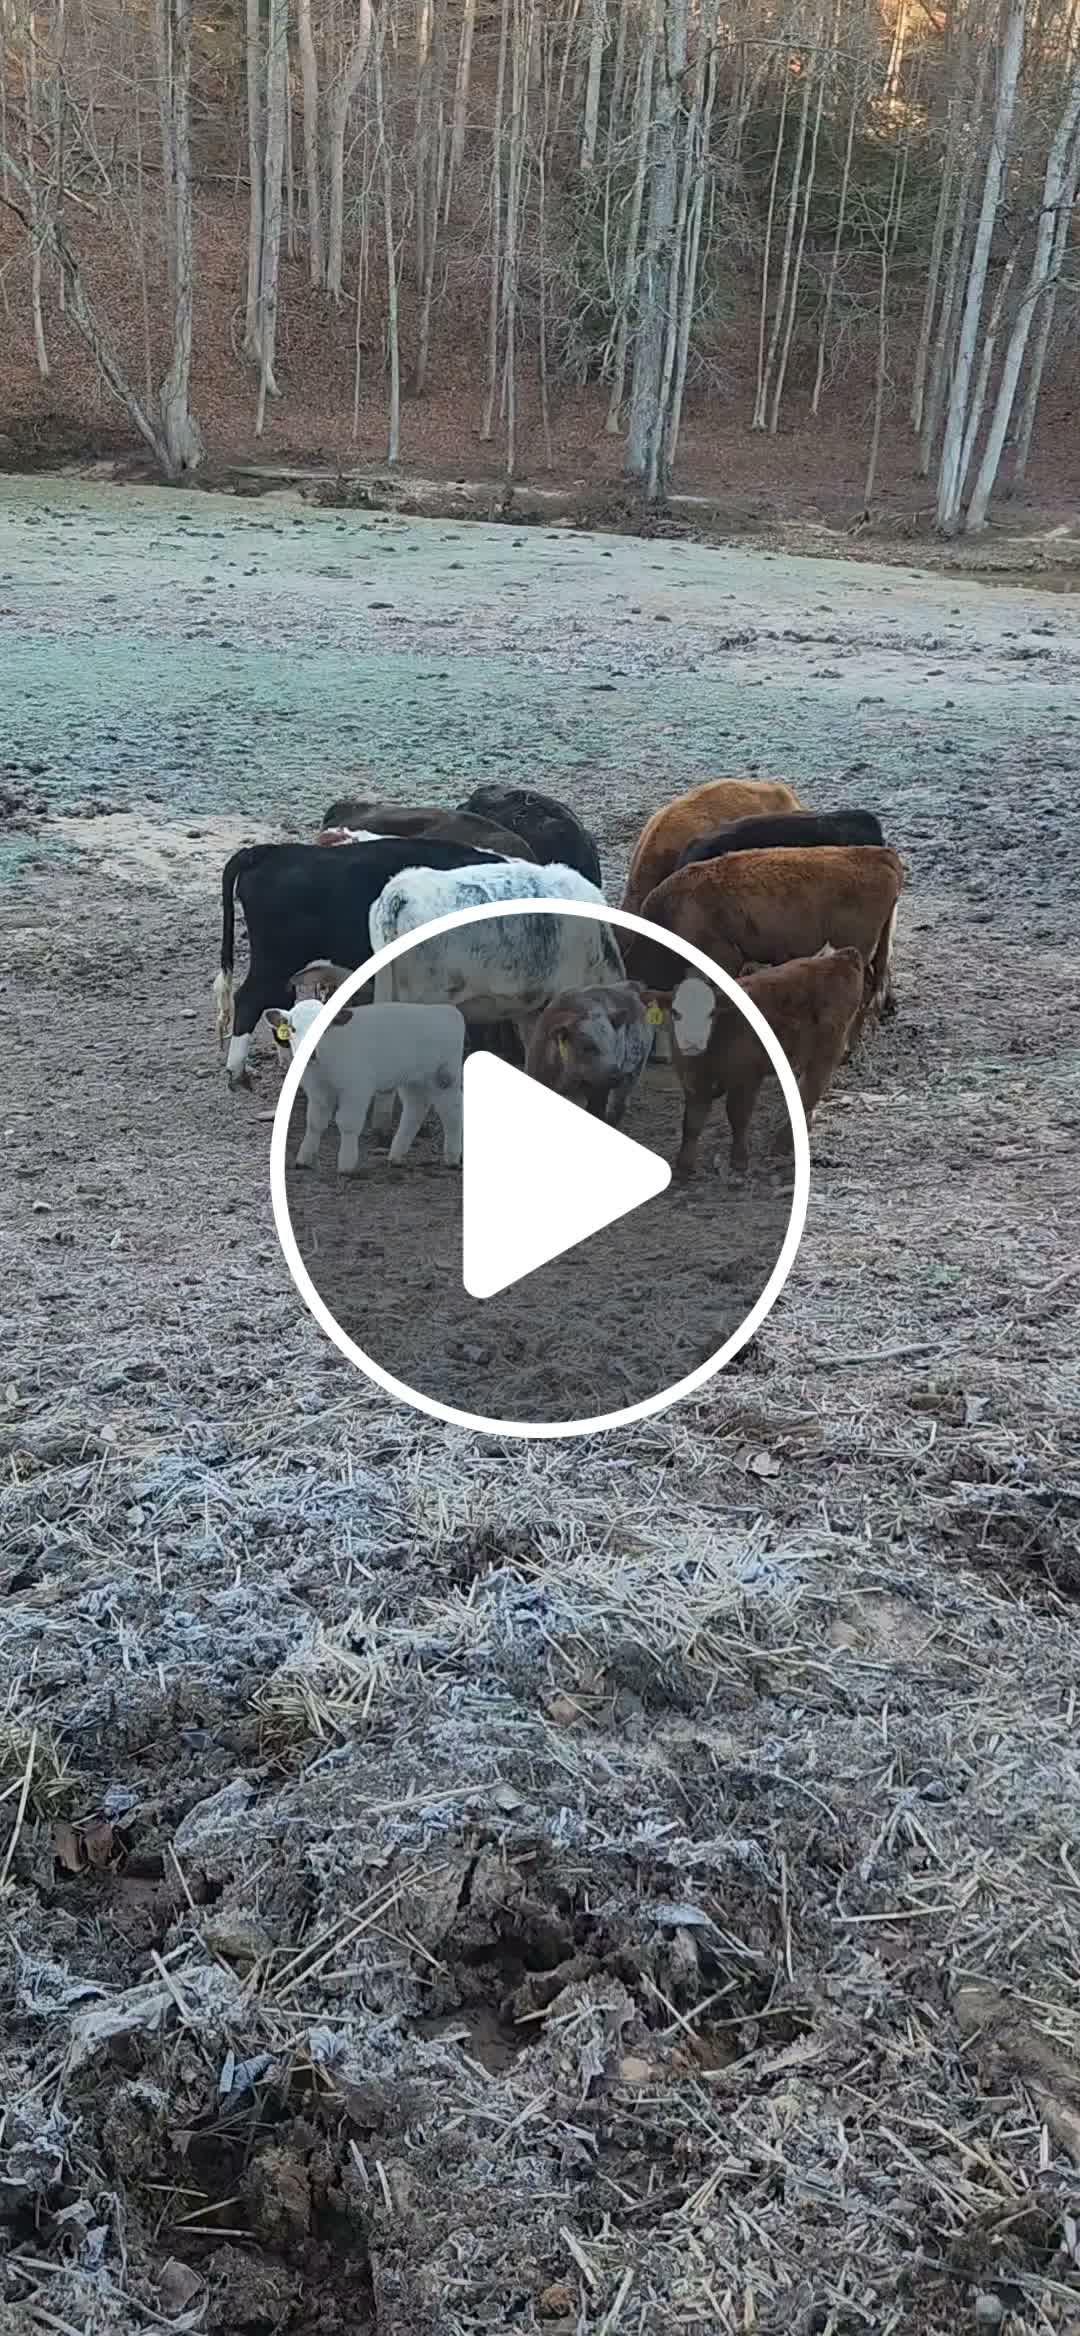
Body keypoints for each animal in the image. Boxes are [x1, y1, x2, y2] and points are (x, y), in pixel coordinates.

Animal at [267, 998, 465, 1171]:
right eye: (293, 1028)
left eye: (325, 1029)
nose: (311, 1053)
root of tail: (446, 1010)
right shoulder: (317, 1091)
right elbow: (315, 1123)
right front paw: (304, 1159)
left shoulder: (356, 1088)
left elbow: (347, 1123)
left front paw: (346, 1164)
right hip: (413, 1080)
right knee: (415, 1110)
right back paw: (396, 1156)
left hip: (444, 1078)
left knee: (452, 1113)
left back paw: (452, 1158)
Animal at [659, 949, 867, 1179]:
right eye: (675, 1012)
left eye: (711, 1013)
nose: (691, 1041)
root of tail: (843, 955)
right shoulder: (694, 1082)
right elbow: (692, 1123)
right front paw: (683, 1167)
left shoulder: (747, 1077)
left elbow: (738, 1116)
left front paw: (739, 1160)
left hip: (826, 1053)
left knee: (810, 1093)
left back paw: (782, 1143)